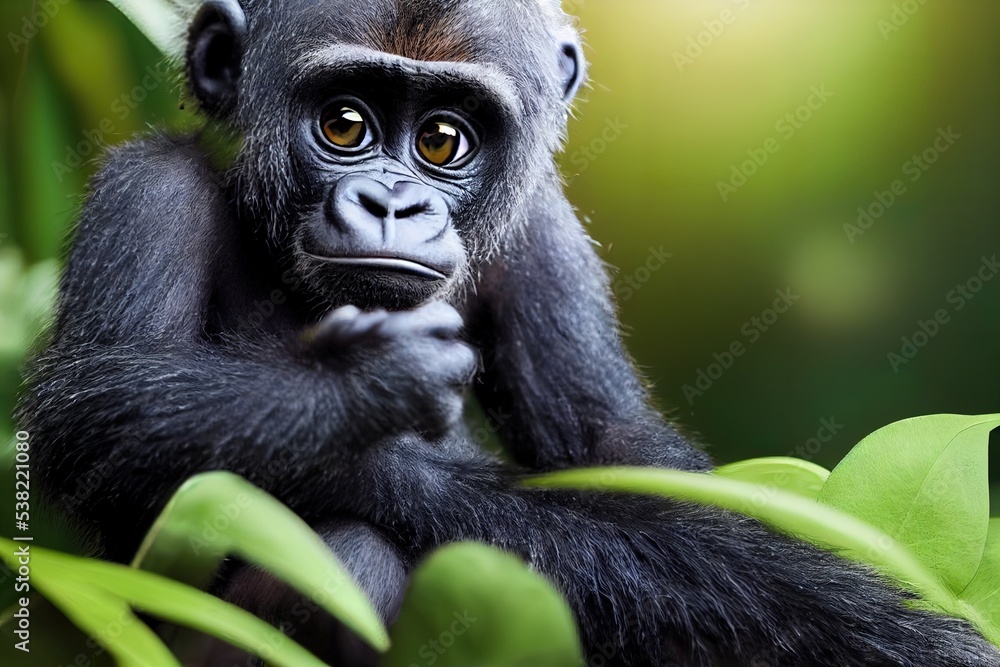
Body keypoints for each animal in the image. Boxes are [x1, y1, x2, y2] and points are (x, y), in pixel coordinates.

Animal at [17, 1, 999, 665]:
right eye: (344, 122)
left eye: (443, 141)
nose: (392, 203)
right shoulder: (147, 191)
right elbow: (95, 405)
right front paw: (361, 386)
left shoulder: (542, 230)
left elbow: (617, 451)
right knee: (349, 553)